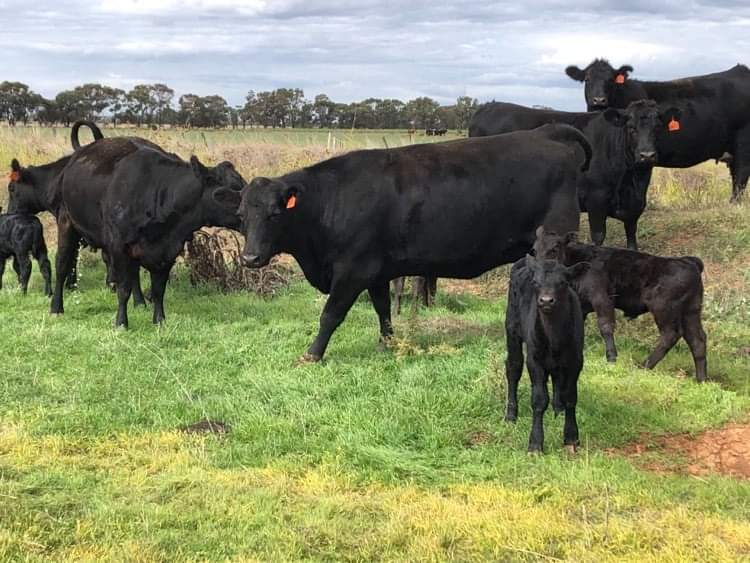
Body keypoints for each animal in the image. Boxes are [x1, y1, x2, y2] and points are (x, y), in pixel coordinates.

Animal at [50, 137, 245, 328]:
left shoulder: (168, 251)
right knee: (61, 264)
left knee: (134, 275)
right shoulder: (119, 248)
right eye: (228, 191)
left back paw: (139, 303)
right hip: (66, 221)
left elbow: (158, 290)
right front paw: (121, 323)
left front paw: (159, 321)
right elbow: (123, 288)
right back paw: (56, 308)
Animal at [217, 124, 590, 362]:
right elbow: (383, 308)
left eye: (274, 214)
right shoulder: (377, 272)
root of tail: (546, 132)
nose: (250, 258)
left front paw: (312, 354)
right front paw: (387, 343)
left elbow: (330, 314)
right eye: (241, 214)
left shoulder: (352, 271)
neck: (331, 201)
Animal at [469, 100, 681, 250]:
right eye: (631, 128)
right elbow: (598, 236)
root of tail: (489, 106)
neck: (633, 182)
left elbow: (632, 237)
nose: (647, 155)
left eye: (658, 127)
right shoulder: (596, 199)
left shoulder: (634, 207)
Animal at [504, 252, 589, 453]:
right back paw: (511, 414)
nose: (546, 301)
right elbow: (539, 399)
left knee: (557, 378)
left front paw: (571, 437)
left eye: (563, 282)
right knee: (513, 368)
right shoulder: (535, 360)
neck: (554, 337)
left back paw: (557, 409)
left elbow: (570, 397)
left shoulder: (576, 360)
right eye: (535, 282)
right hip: (512, 329)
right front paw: (535, 443)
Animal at [534, 228, 707, 382]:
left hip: (663, 309)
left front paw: (611, 357)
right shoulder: (582, 305)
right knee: (697, 339)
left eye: (554, 249)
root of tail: (689, 261)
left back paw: (644, 366)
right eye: (534, 250)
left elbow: (606, 326)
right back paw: (701, 379)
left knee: (671, 334)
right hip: (691, 311)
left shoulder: (602, 299)